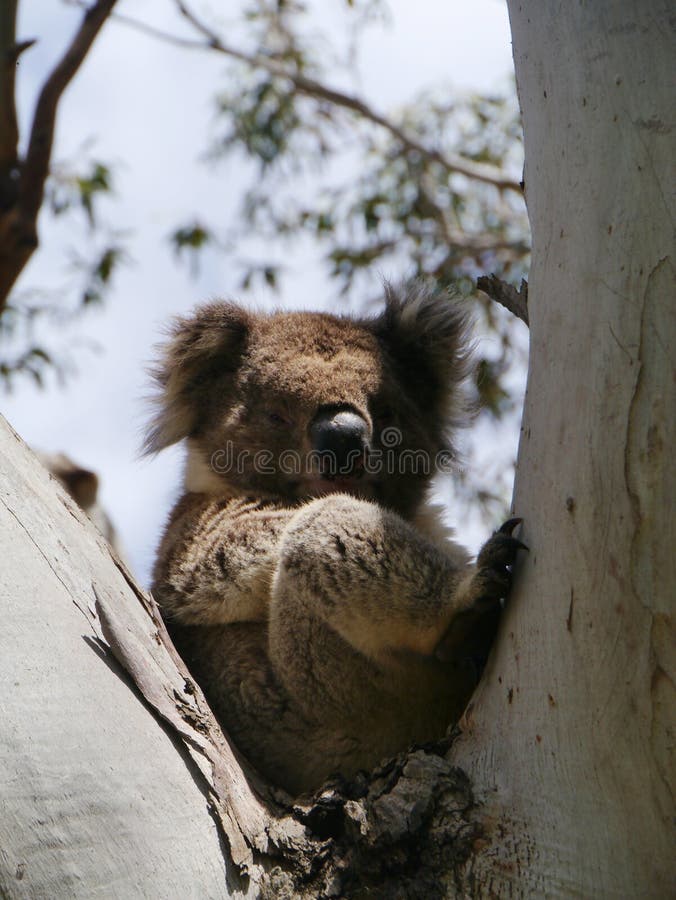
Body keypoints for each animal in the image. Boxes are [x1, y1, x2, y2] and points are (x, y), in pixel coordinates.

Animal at [146, 282, 524, 795]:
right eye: (277, 414)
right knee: (317, 534)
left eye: (385, 411)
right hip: (326, 698)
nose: (344, 441)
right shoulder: (203, 529)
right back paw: (470, 608)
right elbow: (241, 551)